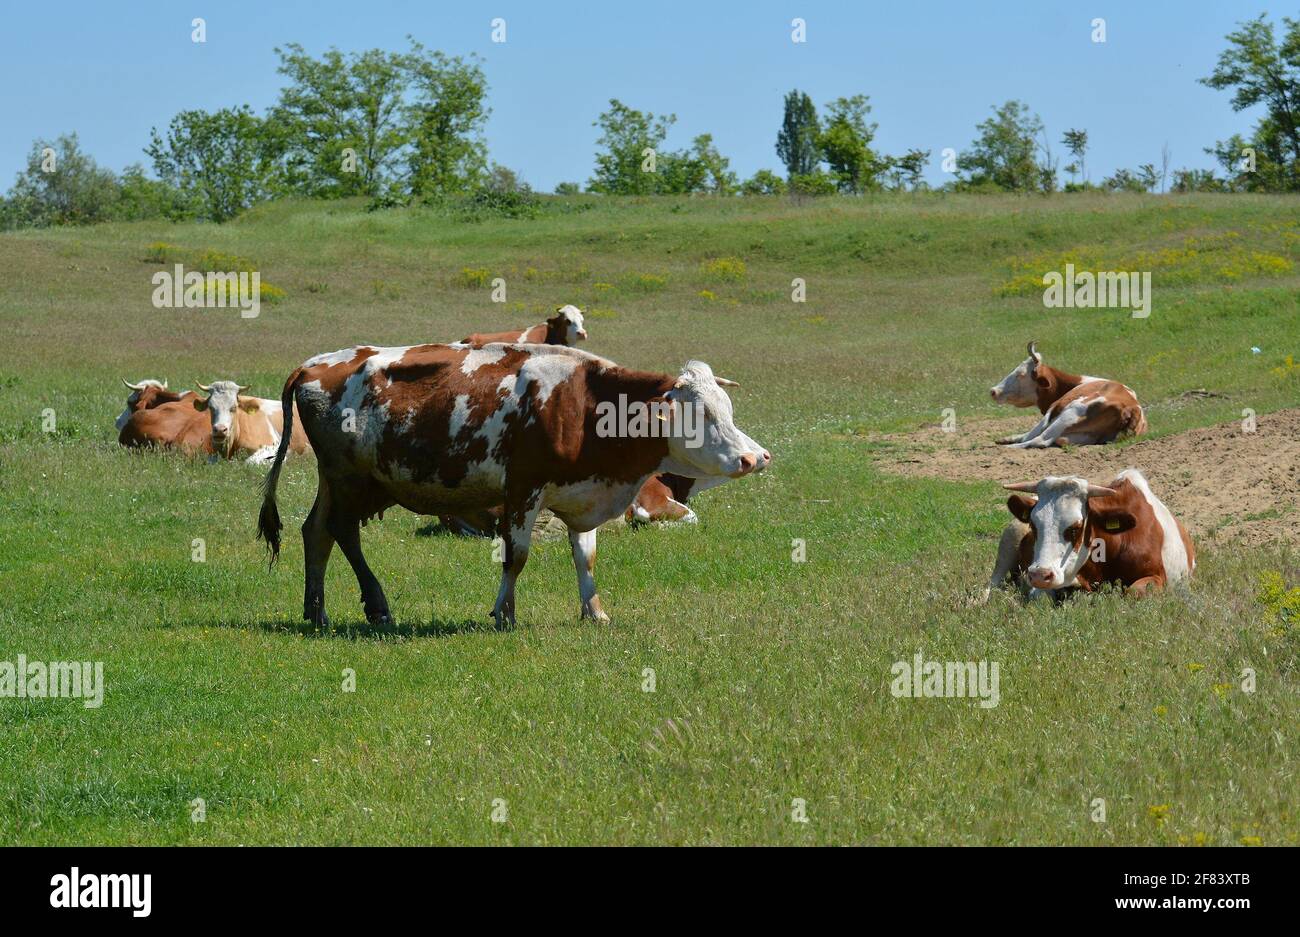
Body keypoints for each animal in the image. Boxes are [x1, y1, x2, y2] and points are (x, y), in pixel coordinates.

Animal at [256, 342, 770, 628]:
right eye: (701, 414)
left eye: (727, 409)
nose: (756, 457)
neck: (584, 404)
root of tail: (313, 364)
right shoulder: (523, 490)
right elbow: (516, 556)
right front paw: (504, 612)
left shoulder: (582, 492)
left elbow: (585, 556)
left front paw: (594, 611)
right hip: (350, 479)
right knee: (342, 532)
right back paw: (374, 607)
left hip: (336, 480)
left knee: (316, 532)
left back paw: (316, 611)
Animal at [982, 468, 1194, 603]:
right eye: (1034, 525)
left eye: (1075, 528)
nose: (1040, 575)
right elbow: (1041, 596)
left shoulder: (1159, 575)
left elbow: (1135, 591)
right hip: (1010, 539)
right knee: (992, 583)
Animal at [989, 341, 1147, 448]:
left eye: (1020, 374)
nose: (993, 391)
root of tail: (1130, 408)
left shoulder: (1052, 409)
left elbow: (1031, 433)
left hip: (1069, 414)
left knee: (1039, 440)